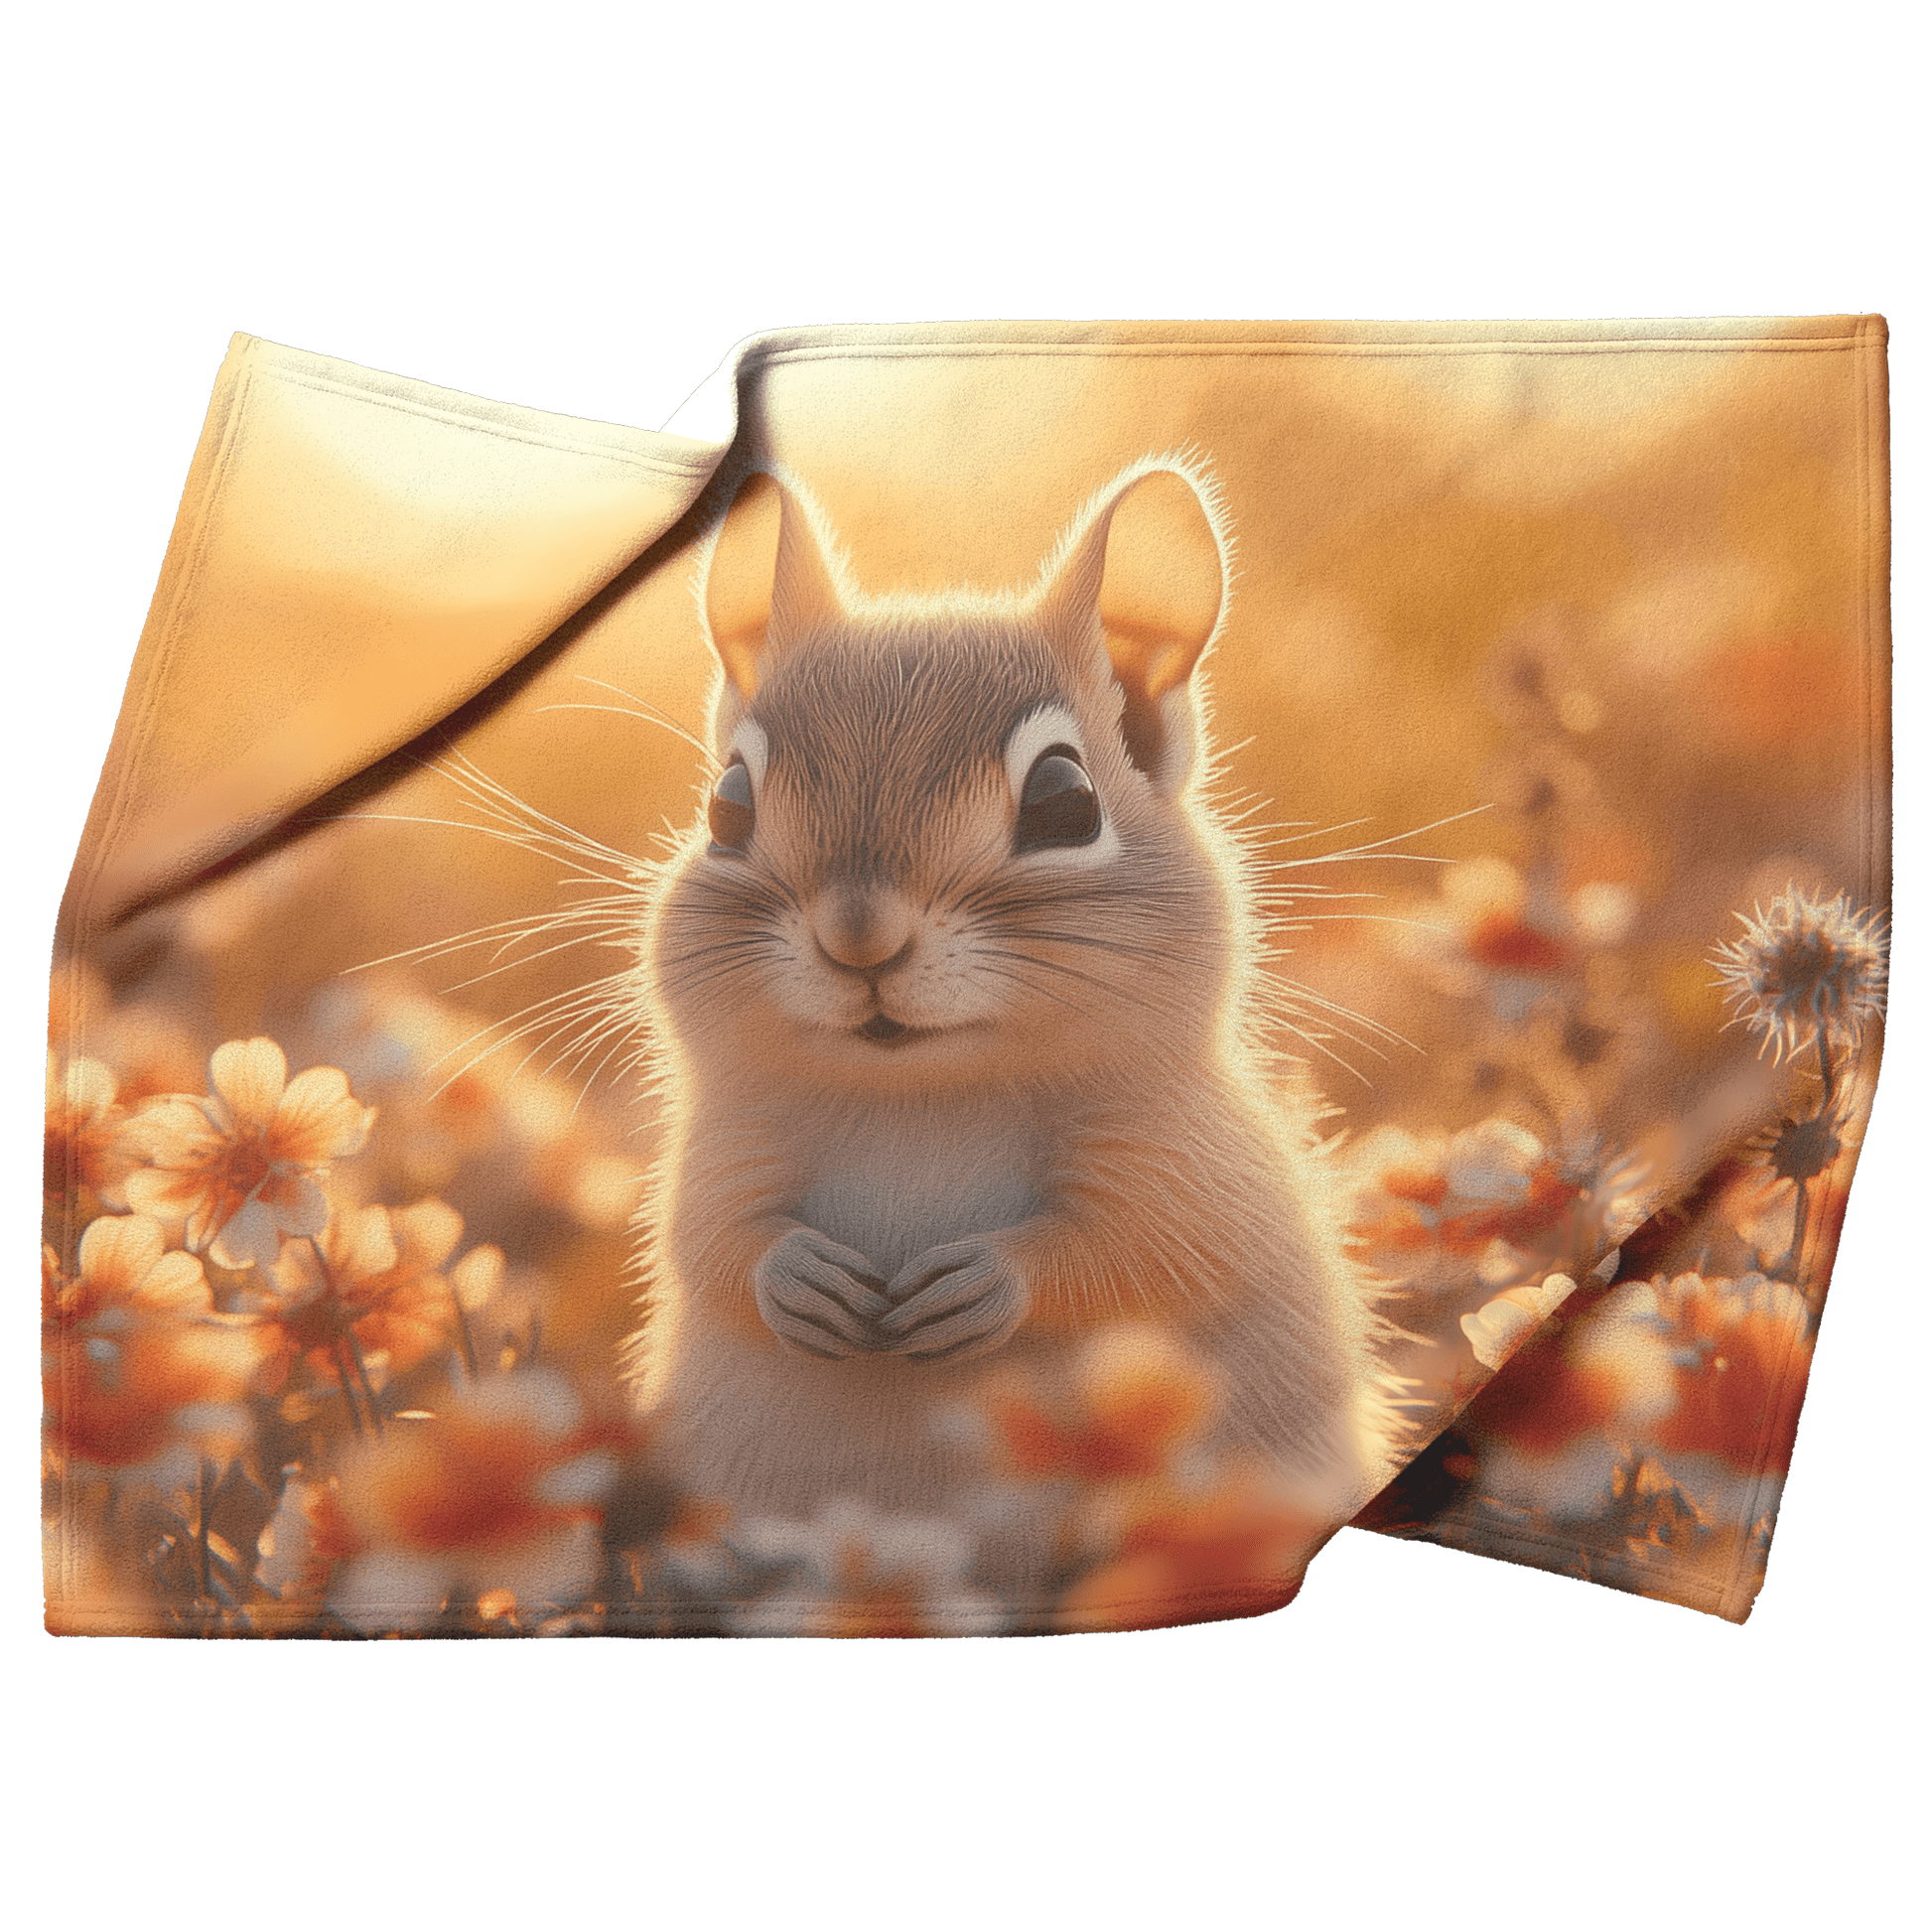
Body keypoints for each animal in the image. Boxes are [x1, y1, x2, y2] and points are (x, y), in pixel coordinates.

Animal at [621, 456, 1383, 1593]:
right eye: (727, 806)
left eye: (1065, 801)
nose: (859, 938)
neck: (925, 1095)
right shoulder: (726, 1148)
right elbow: (707, 1238)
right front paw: (797, 1279)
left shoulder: (1183, 1164)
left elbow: (1140, 1249)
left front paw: (983, 1284)